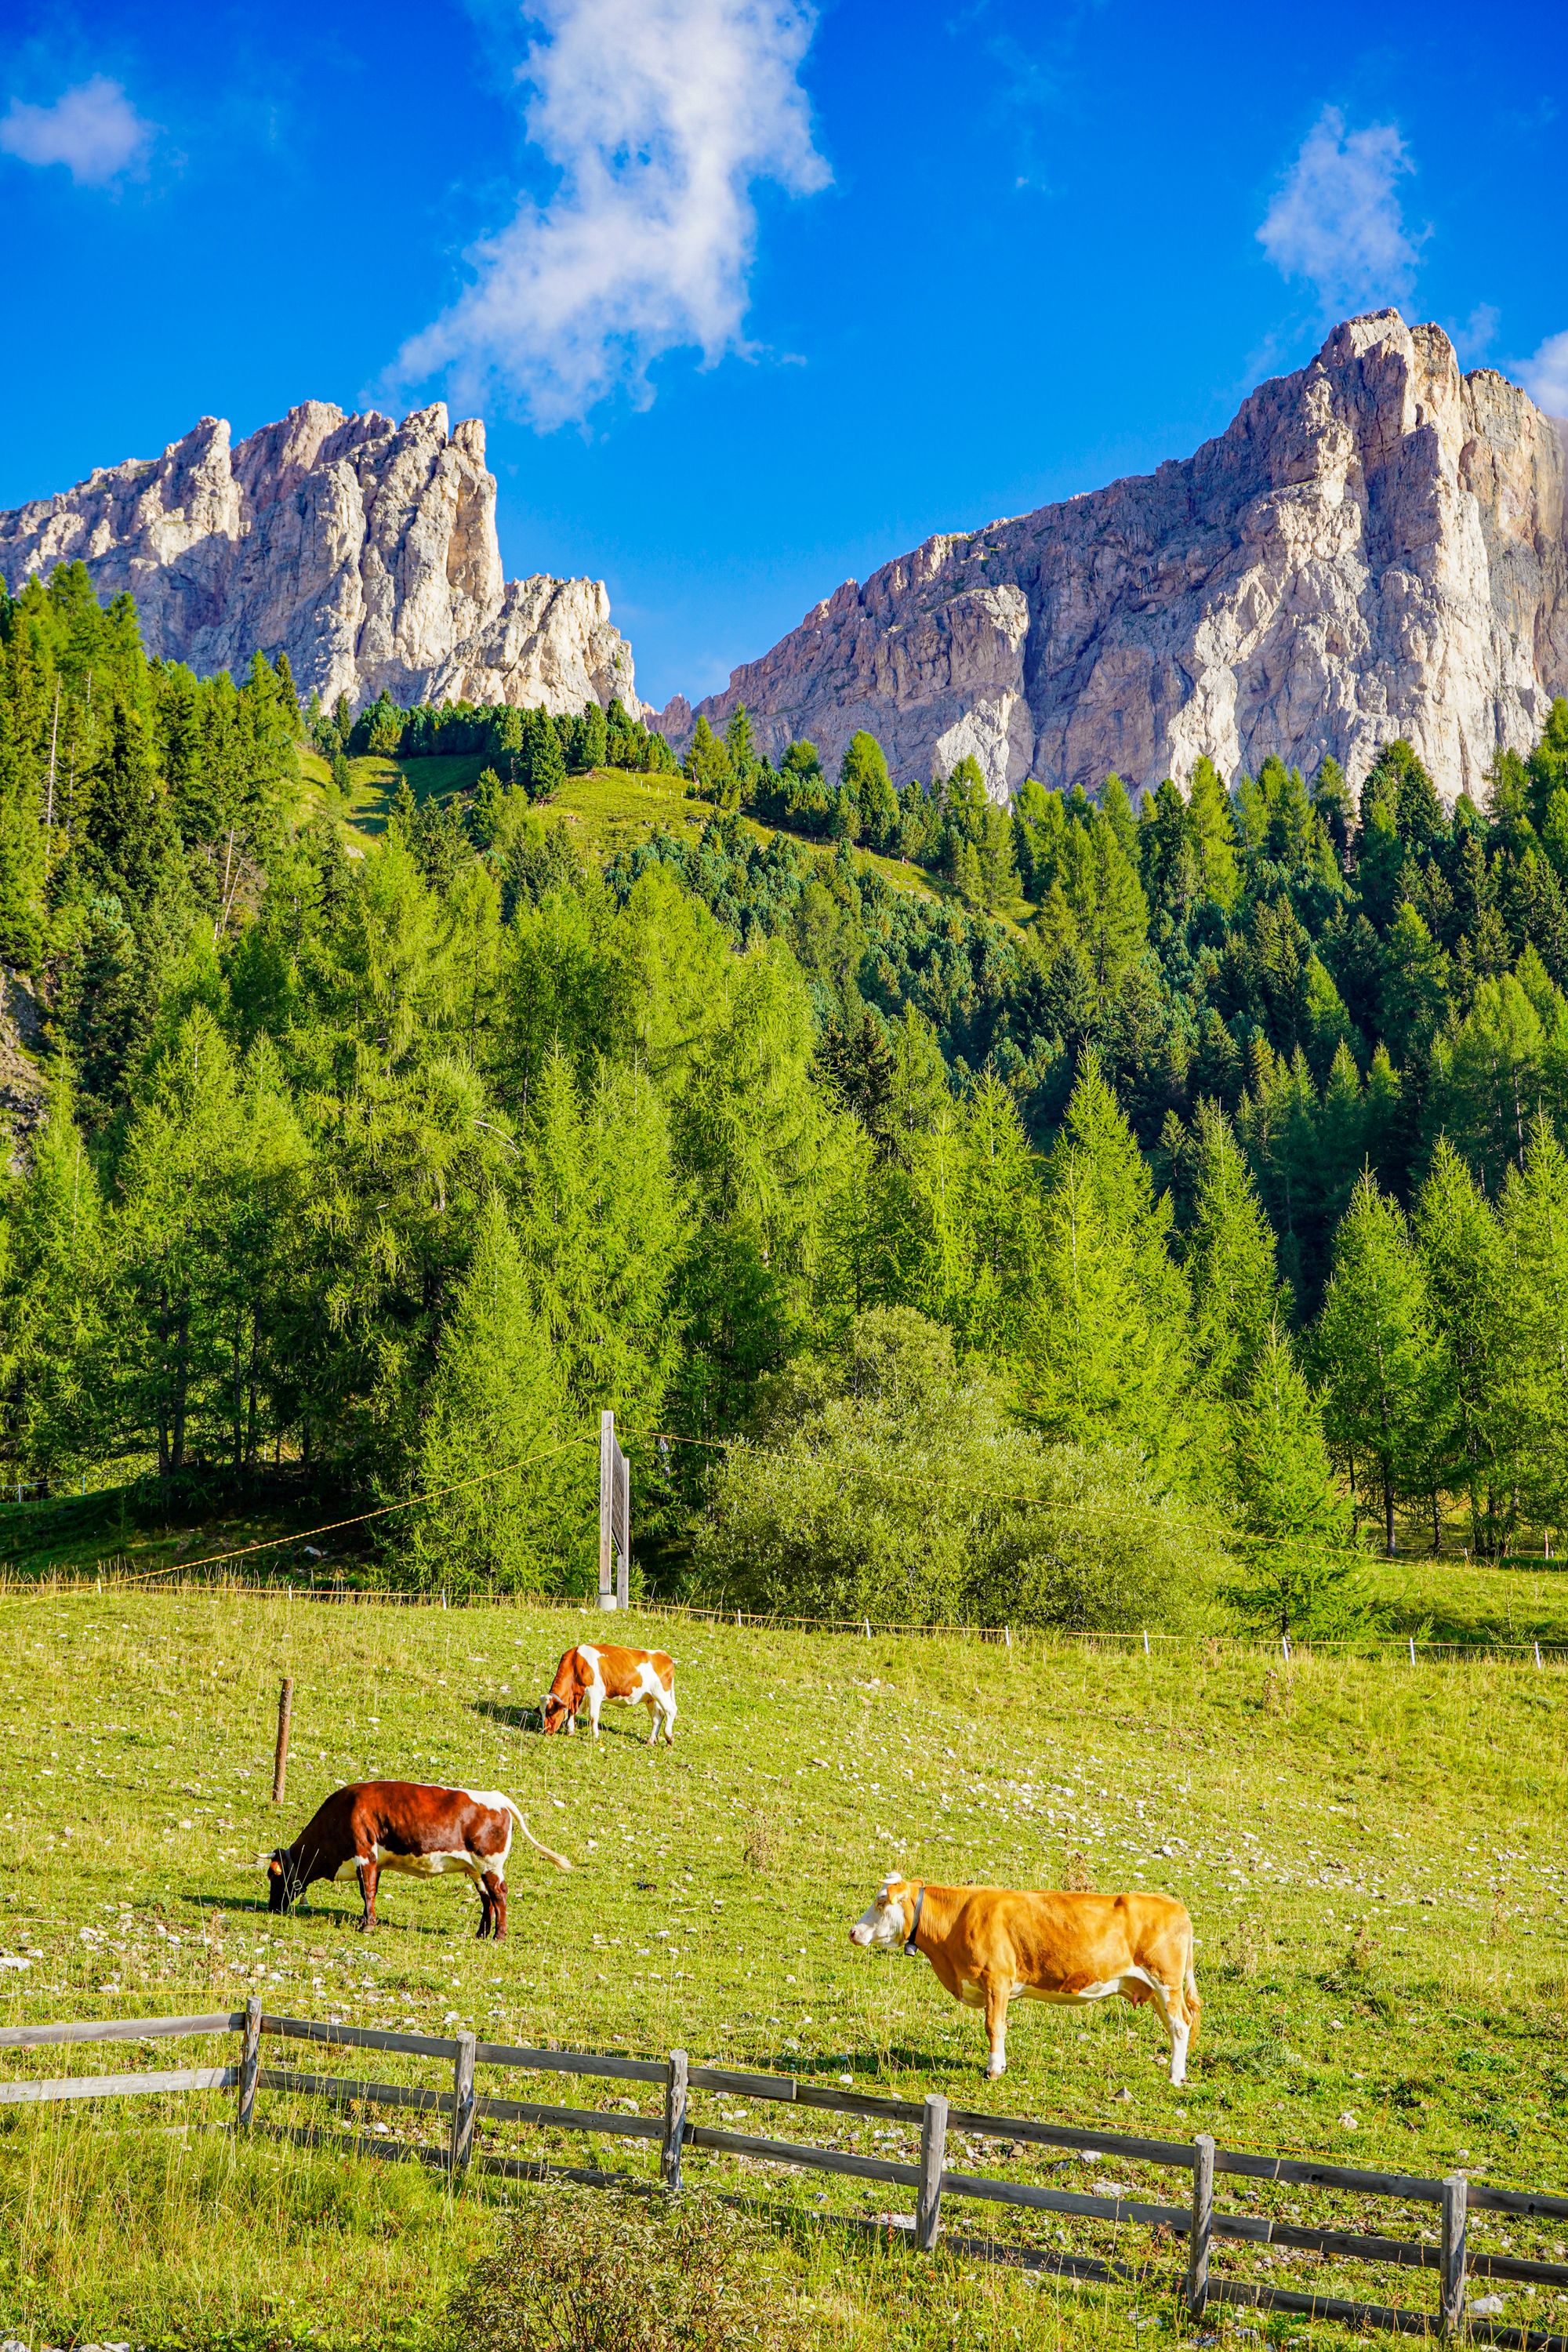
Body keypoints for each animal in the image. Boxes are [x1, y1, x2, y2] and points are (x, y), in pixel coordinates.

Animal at [259, 1781, 572, 1938]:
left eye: (274, 1875)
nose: (273, 1908)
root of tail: (498, 1798)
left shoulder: (364, 1852)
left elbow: (366, 1890)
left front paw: (367, 1925)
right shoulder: (375, 1860)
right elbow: (371, 1890)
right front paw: (368, 1920)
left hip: (489, 1864)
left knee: (500, 1895)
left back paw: (499, 1936)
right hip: (476, 1868)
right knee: (487, 1899)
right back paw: (482, 1934)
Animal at [540, 1642, 677, 1745]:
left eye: (550, 1712)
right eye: (541, 1713)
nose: (545, 1731)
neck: (576, 1662)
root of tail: (663, 1654)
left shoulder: (595, 1692)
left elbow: (593, 1716)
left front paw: (595, 1736)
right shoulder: (577, 1696)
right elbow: (571, 1712)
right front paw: (571, 1731)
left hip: (661, 1693)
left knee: (671, 1710)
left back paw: (669, 1737)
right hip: (650, 1698)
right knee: (657, 1716)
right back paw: (650, 1741)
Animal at [850, 1875, 1201, 2085]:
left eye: (881, 1902)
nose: (853, 1931)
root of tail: (1173, 1903)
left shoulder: (997, 1980)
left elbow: (994, 2026)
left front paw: (994, 2069)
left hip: (1166, 1981)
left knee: (1180, 2025)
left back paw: (1175, 2076)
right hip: (1157, 1989)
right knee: (1176, 2024)